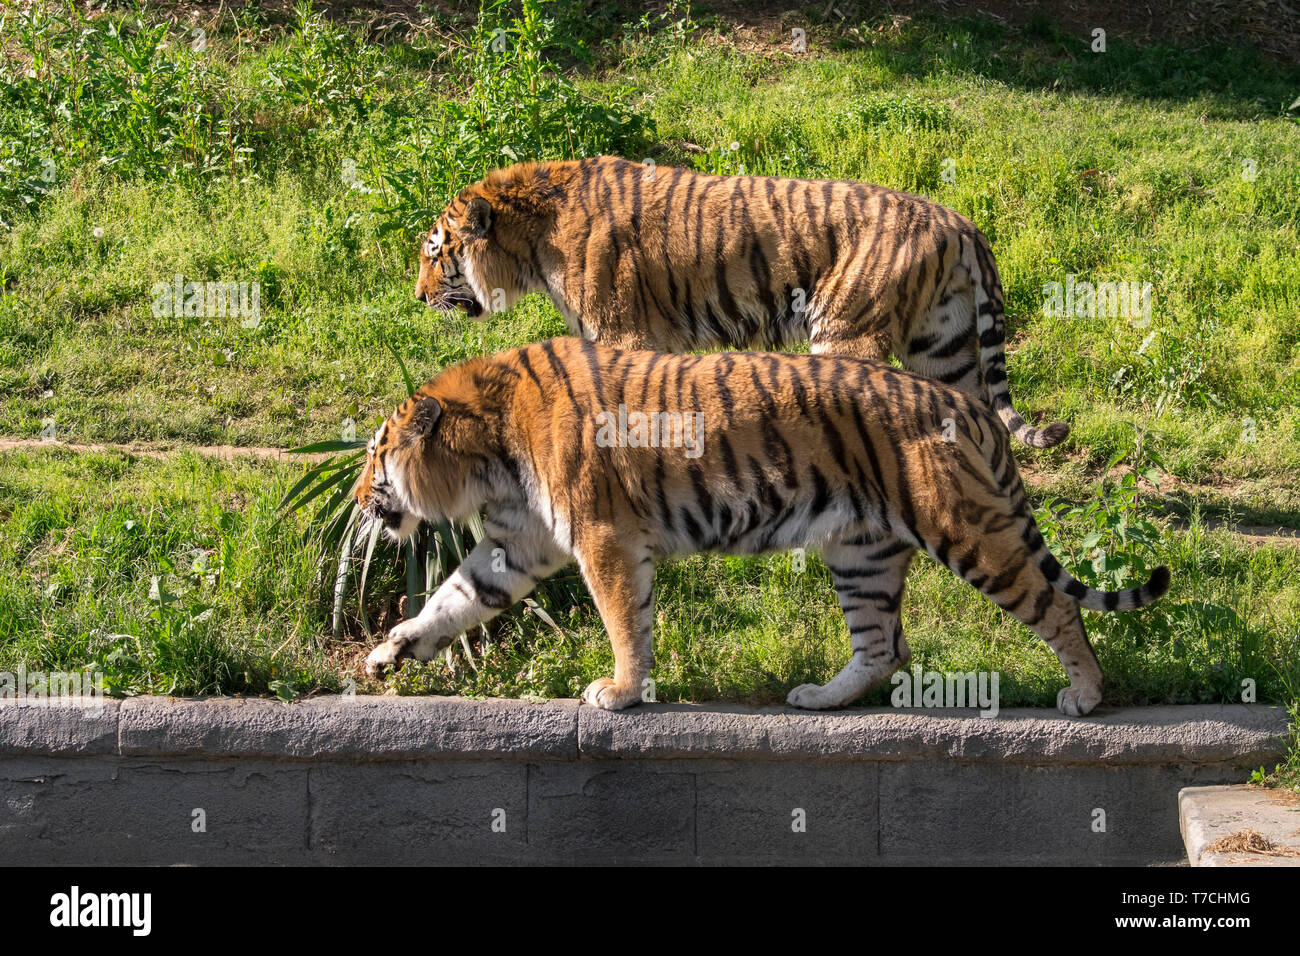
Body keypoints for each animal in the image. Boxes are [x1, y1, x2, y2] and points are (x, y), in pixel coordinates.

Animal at [357, 337, 1168, 716]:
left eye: (374, 456)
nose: (362, 499)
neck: (487, 454)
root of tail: (966, 405)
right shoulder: (518, 543)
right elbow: (453, 600)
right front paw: (391, 651)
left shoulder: (603, 538)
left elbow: (625, 621)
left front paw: (620, 692)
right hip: (861, 552)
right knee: (884, 646)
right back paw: (820, 698)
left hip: (966, 532)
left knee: (1055, 604)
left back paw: (1086, 695)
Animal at [413, 156, 1069, 449]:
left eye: (433, 252)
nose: (418, 296)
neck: (530, 245)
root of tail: (959, 222)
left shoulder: (622, 332)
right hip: (944, 345)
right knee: (978, 416)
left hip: (845, 333)